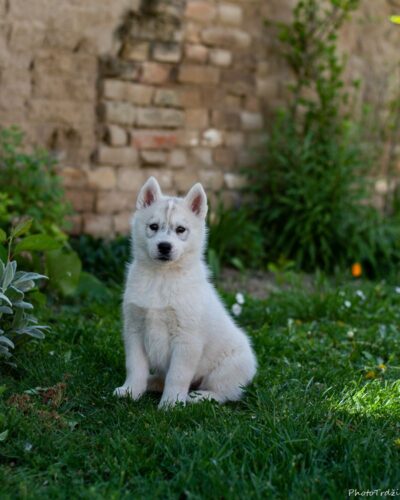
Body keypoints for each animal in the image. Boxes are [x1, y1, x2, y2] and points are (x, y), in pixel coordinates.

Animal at [113, 178, 256, 408]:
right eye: (153, 226)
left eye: (181, 229)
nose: (164, 246)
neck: (161, 278)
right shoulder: (134, 329)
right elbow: (135, 366)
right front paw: (131, 391)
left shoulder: (187, 339)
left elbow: (177, 375)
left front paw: (171, 403)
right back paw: (151, 383)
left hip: (229, 367)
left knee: (227, 393)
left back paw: (199, 396)